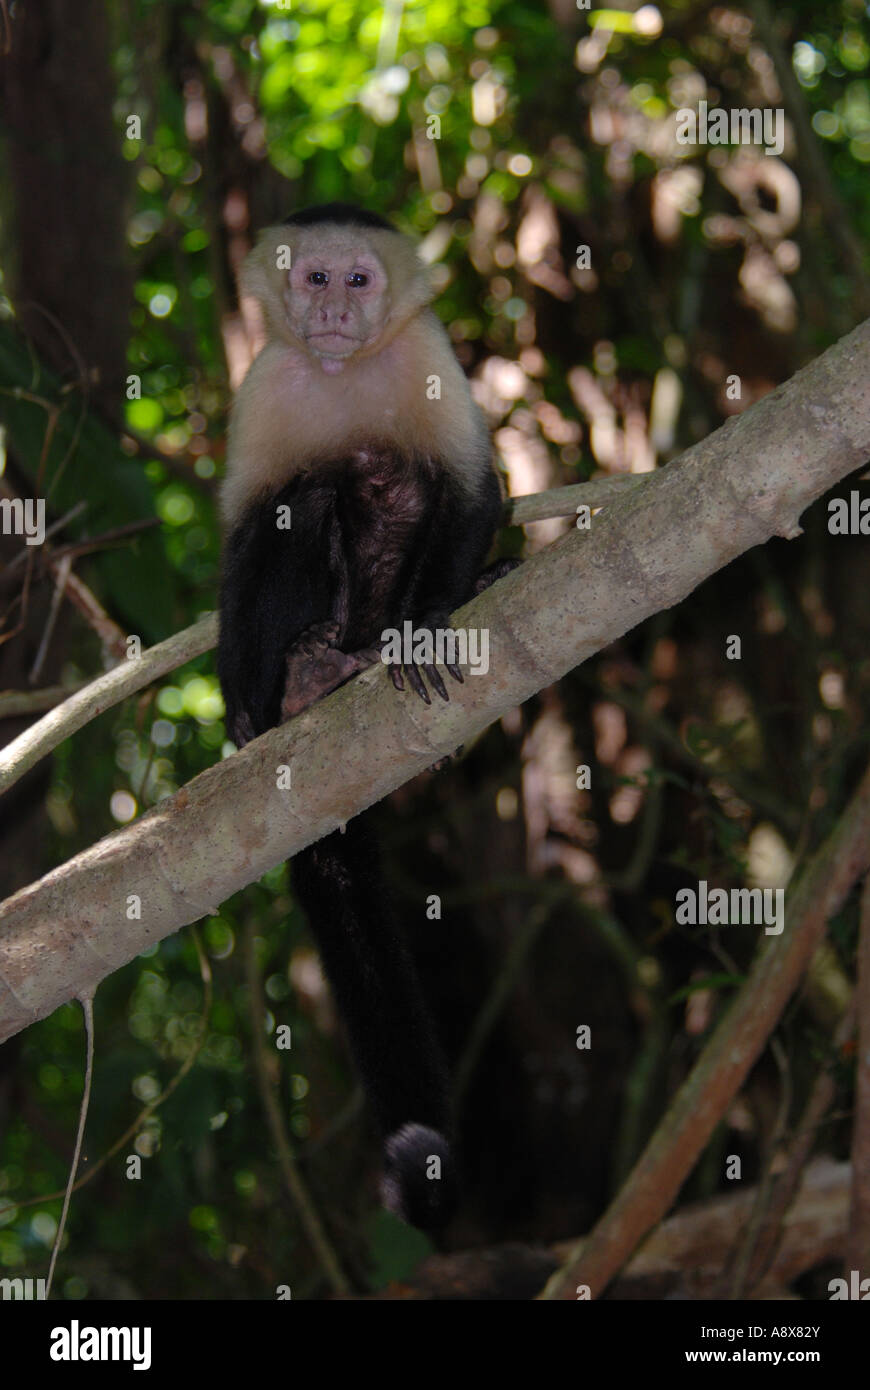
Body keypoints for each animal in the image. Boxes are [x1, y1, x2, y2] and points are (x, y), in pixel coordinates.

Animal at [217, 202, 513, 1232]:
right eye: (314, 279)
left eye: (358, 280)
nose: (336, 315)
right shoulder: (266, 384)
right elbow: (246, 535)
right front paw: (239, 710)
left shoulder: (425, 352)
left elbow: (471, 490)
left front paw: (428, 625)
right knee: (304, 498)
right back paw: (301, 683)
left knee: (398, 474)